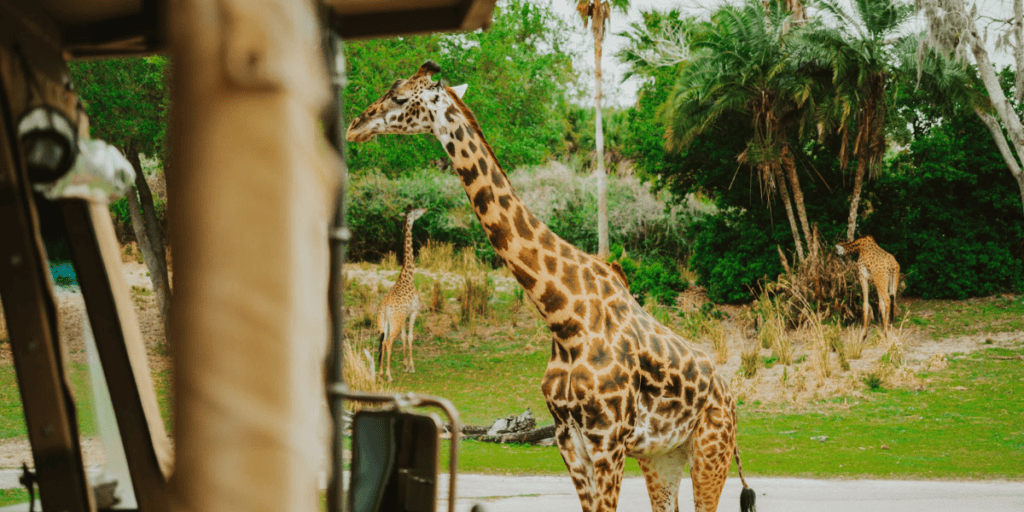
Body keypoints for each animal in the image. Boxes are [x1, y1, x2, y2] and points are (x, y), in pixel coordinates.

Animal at [376, 207, 428, 382]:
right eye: (416, 211)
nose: (425, 209)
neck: (408, 275)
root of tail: (385, 307)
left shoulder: (405, 315)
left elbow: (404, 338)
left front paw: (405, 365)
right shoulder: (413, 312)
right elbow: (411, 337)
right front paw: (411, 367)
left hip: (383, 322)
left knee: (383, 341)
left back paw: (380, 374)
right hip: (395, 321)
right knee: (389, 342)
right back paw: (388, 375)